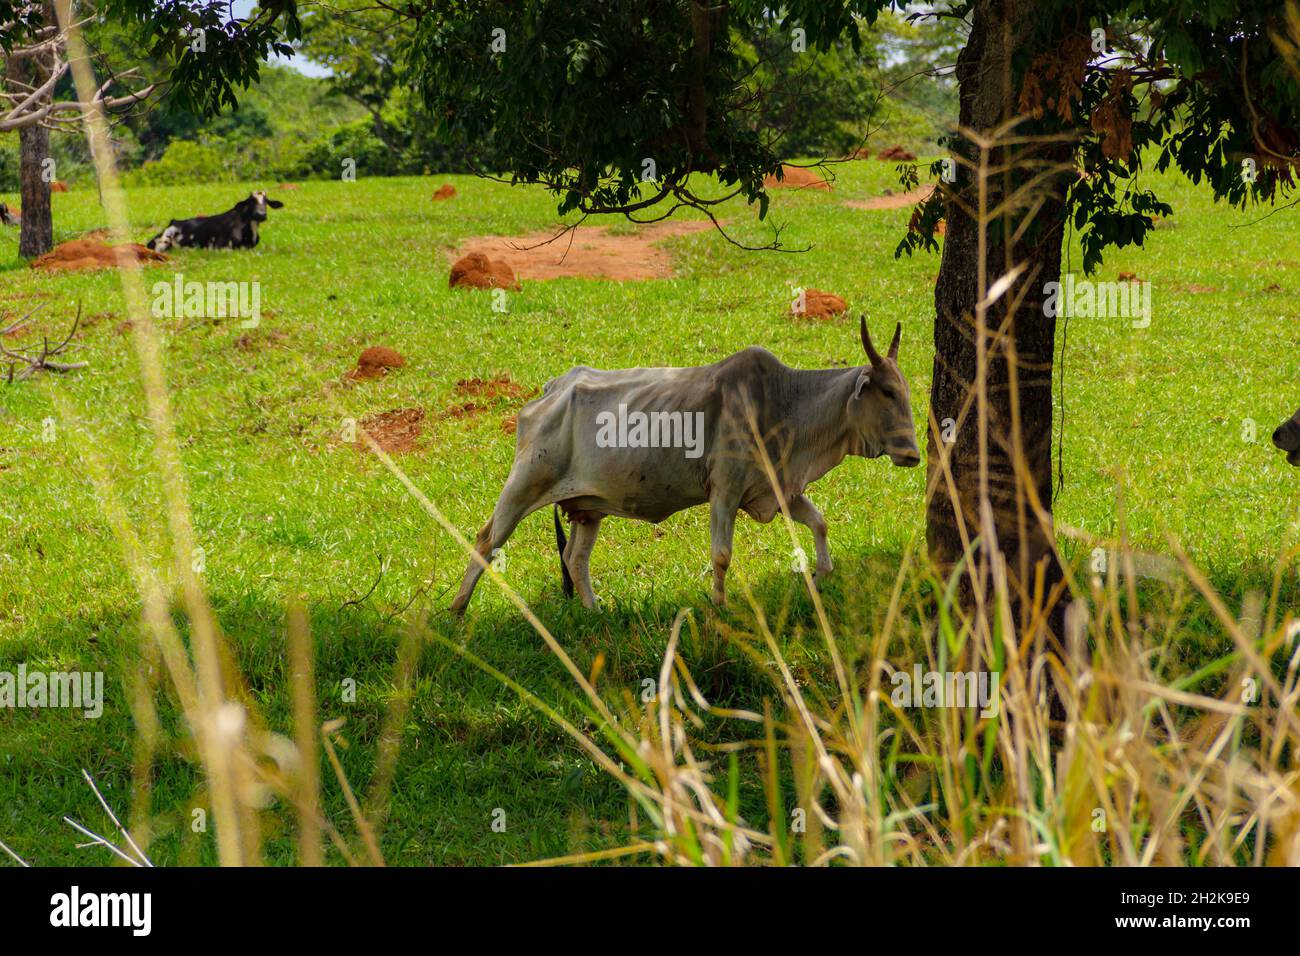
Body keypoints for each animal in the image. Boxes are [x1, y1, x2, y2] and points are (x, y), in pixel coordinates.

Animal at [146, 191, 284, 251]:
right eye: (251, 201)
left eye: (266, 201)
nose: (261, 215)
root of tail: (174, 222)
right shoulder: (221, 247)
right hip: (164, 241)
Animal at [450, 318, 922, 614]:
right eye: (886, 392)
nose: (914, 454)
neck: (784, 402)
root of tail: (553, 387)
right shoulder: (725, 491)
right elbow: (722, 555)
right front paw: (720, 605)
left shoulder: (778, 489)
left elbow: (819, 523)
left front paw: (822, 572)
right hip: (524, 485)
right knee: (486, 539)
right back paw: (457, 609)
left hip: (588, 508)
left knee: (575, 557)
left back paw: (594, 609)